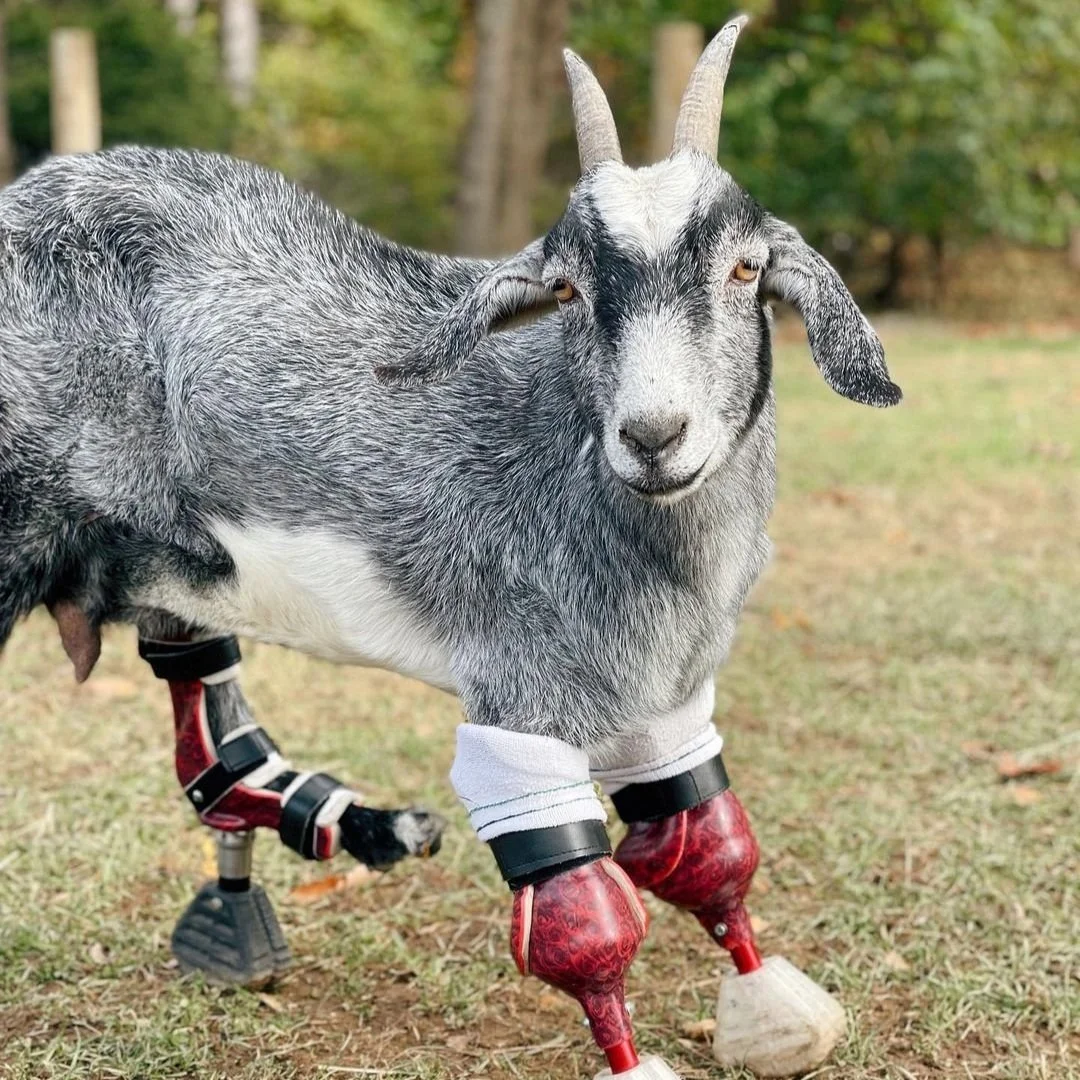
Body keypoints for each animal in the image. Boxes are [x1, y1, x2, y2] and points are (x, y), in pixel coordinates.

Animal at [0, 18, 898, 1079]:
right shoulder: (524, 699)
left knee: (210, 733)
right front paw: (633, 1057)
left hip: (174, 575)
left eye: (746, 269)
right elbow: (585, 925)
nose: (653, 435)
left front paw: (774, 1008)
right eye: (569, 287)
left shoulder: (661, 703)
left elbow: (708, 850)